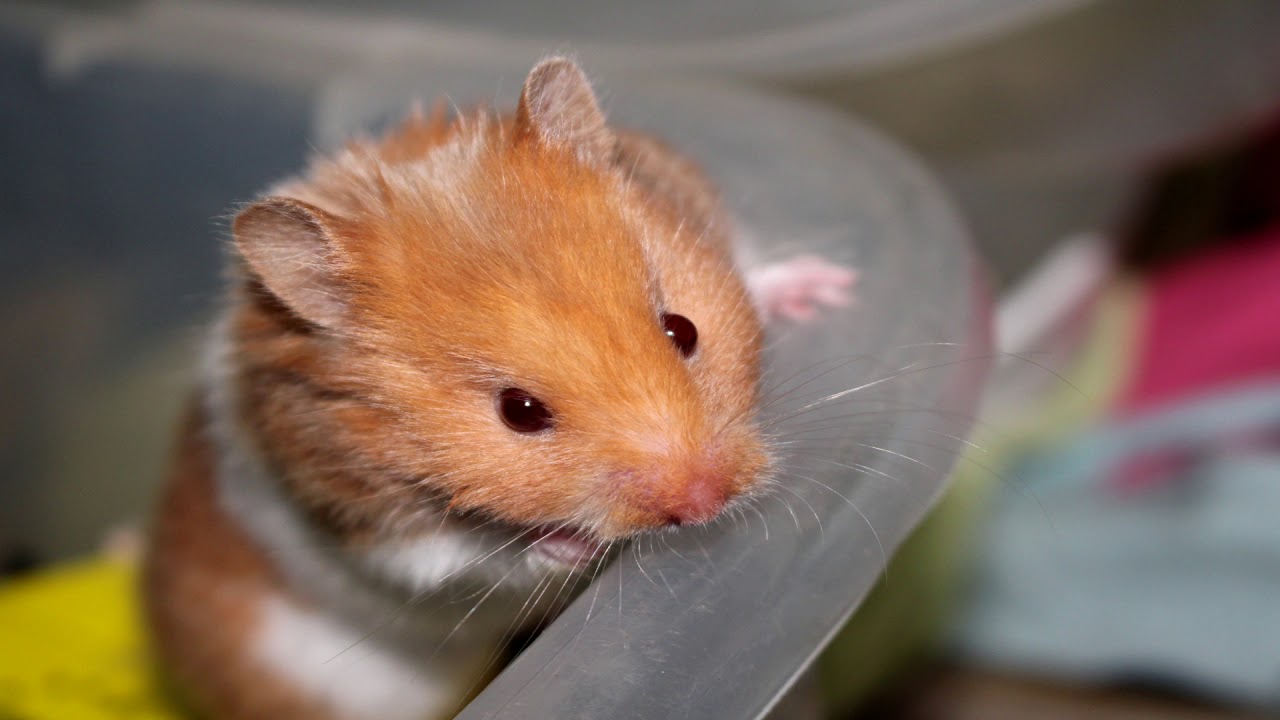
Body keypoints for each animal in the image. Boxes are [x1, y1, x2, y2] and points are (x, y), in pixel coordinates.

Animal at [143, 57, 854, 720]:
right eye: (520, 412)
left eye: (683, 329)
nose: (707, 504)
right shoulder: (370, 529)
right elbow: (476, 555)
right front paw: (573, 544)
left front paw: (827, 289)